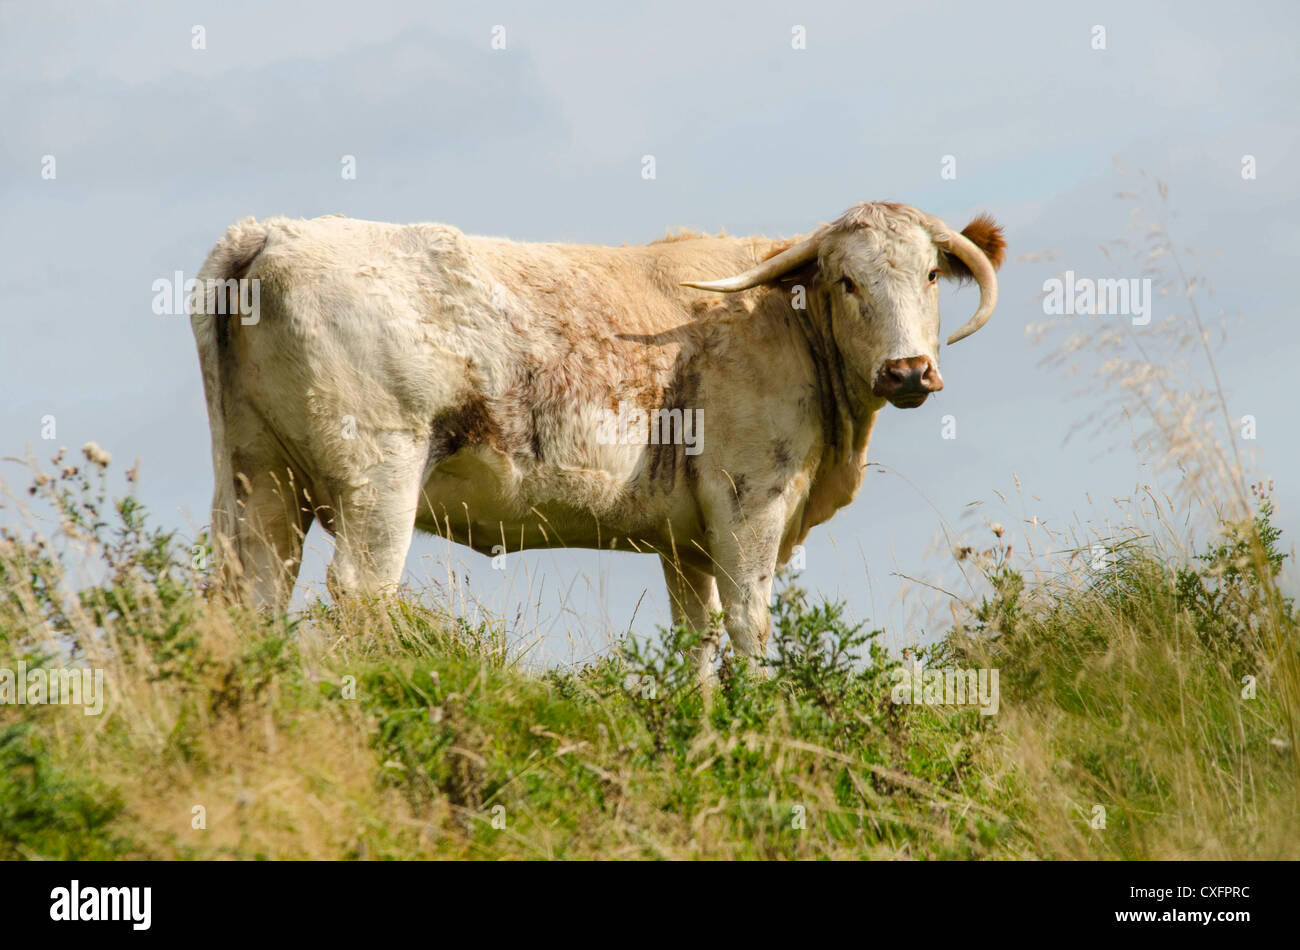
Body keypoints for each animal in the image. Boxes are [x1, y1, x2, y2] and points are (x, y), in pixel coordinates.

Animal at [190, 201, 1004, 677]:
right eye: (846, 281)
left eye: (932, 274)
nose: (907, 369)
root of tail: (269, 231)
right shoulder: (749, 502)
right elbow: (750, 624)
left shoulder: (687, 539)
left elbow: (697, 637)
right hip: (377, 481)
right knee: (360, 593)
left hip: (255, 479)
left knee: (248, 593)